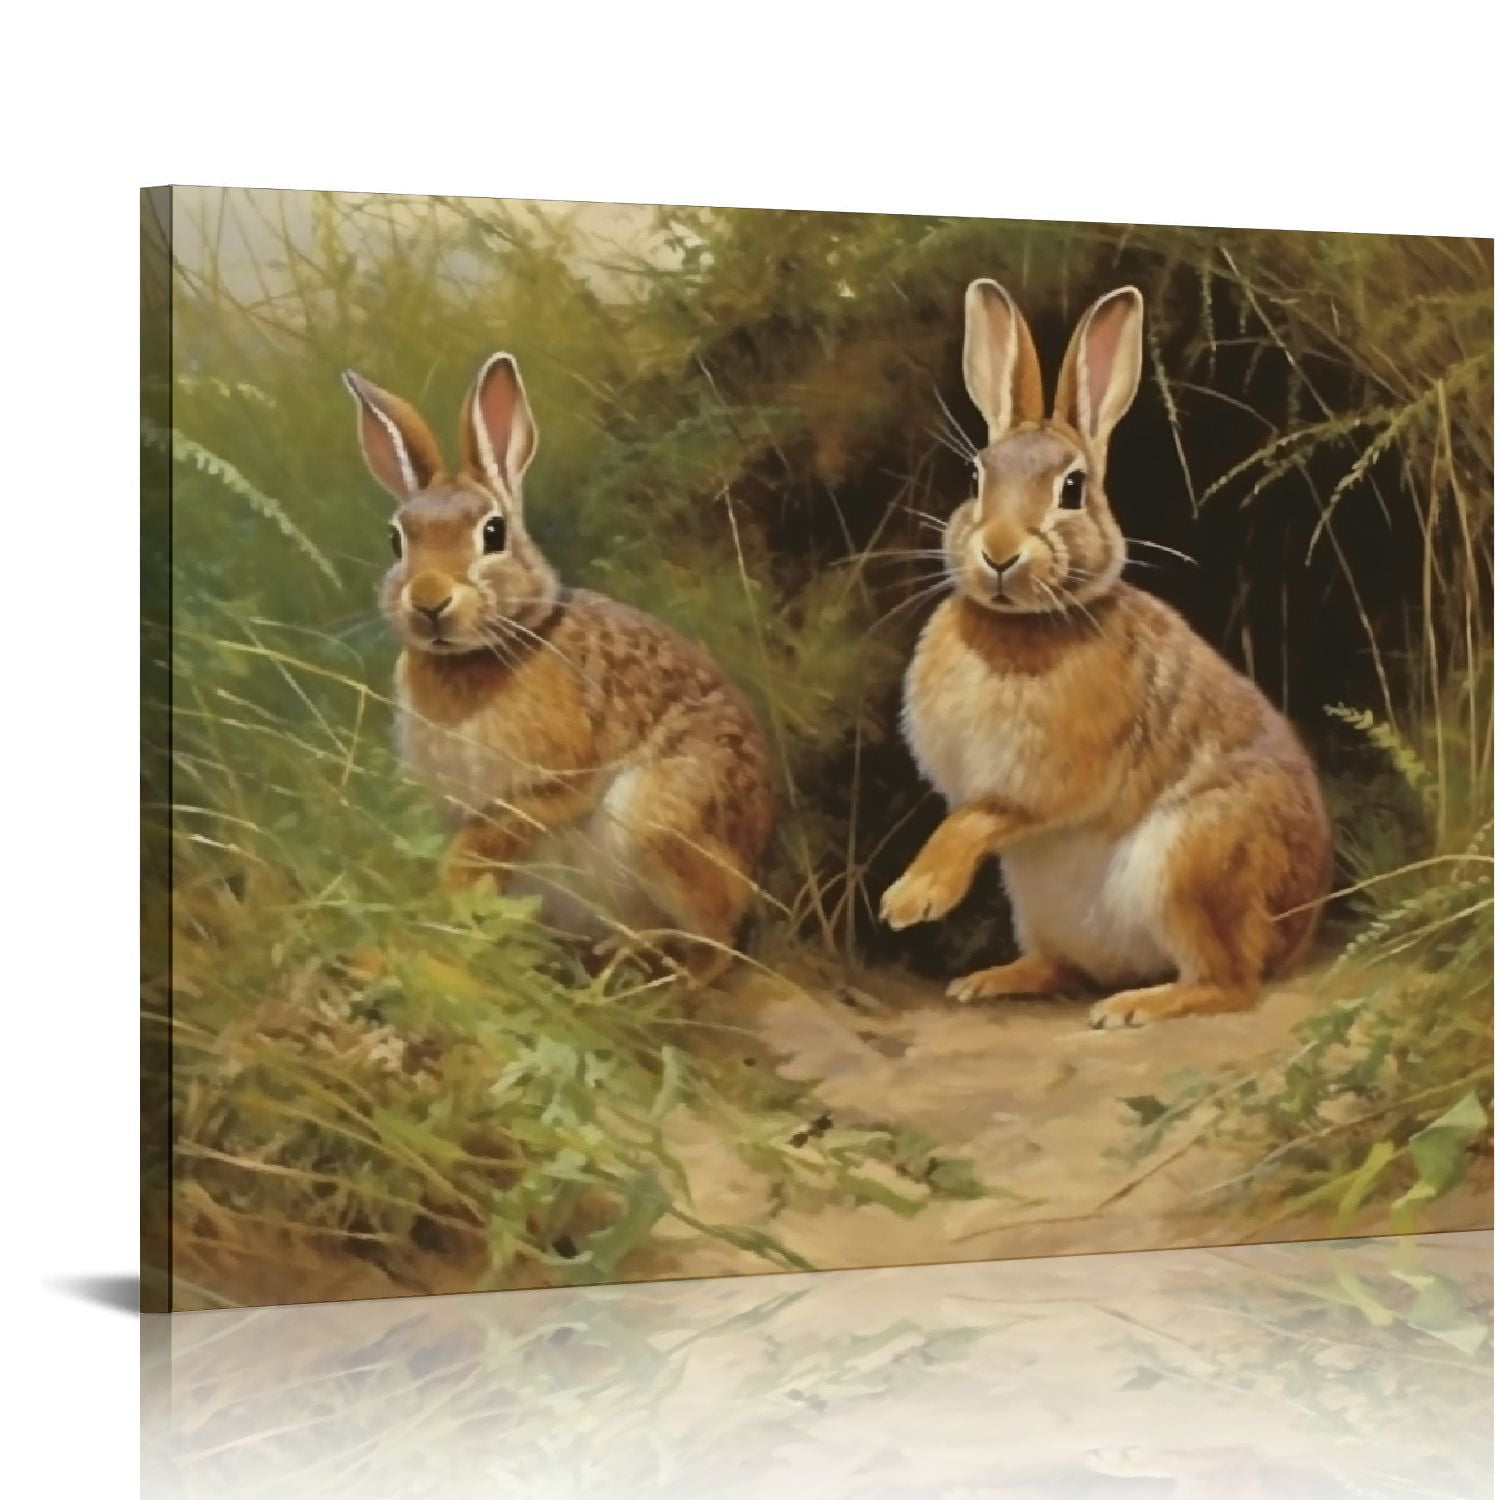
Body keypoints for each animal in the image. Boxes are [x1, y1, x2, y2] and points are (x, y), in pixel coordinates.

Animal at [342, 352, 774, 985]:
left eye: (492, 533)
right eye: (397, 541)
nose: (428, 600)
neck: (483, 652)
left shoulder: (561, 777)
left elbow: (495, 828)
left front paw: (450, 888)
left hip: (660, 822)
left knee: (720, 935)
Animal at [880, 279, 1332, 1028]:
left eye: (1072, 488)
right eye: (975, 478)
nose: (998, 552)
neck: (1023, 625)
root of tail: (1300, 931)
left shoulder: (1046, 781)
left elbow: (977, 818)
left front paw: (913, 898)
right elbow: (968, 815)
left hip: (1194, 867)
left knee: (1231, 982)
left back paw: (1134, 1006)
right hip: (1039, 903)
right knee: (1062, 964)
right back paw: (990, 980)